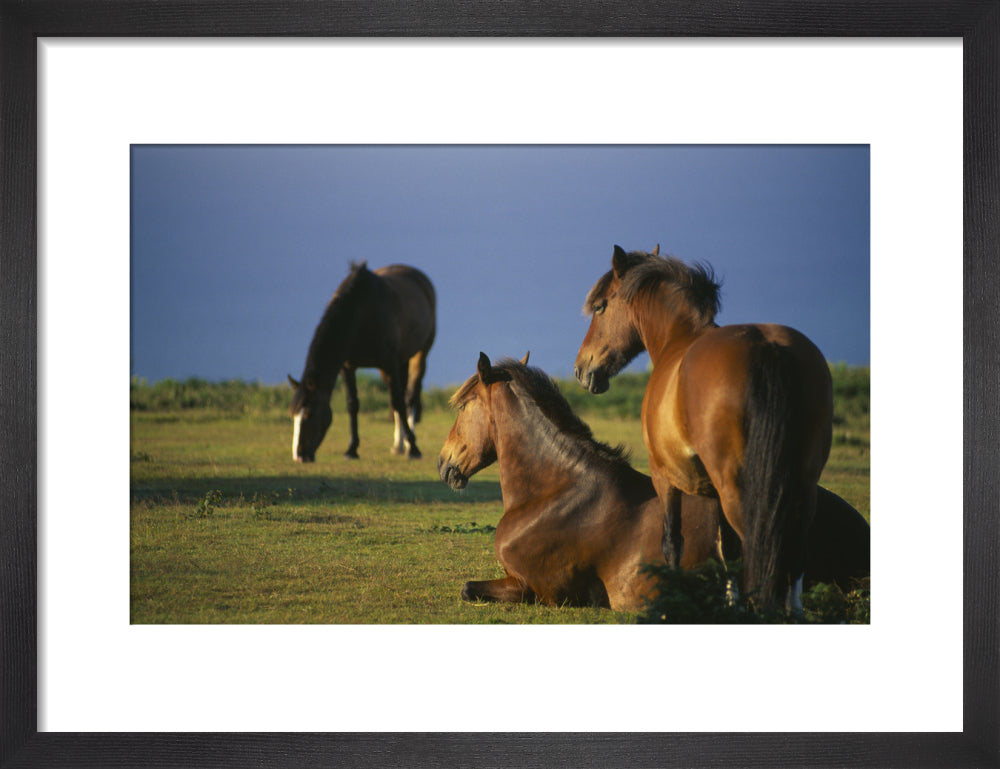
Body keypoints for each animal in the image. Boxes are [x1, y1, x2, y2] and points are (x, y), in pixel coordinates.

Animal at [289, 261, 435, 461]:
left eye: (309, 414)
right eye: (293, 414)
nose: (299, 455)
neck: (361, 312)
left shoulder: (389, 364)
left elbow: (398, 402)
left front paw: (413, 448)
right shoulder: (347, 368)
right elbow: (353, 405)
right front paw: (351, 449)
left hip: (419, 354)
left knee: (409, 397)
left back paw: (407, 444)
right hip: (400, 361)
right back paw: (398, 445)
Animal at [575, 246, 834, 613]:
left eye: (600, 306)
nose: (582, 369)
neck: (678, 339)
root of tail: (767, 345)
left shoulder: (664, 476)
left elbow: (672, 541)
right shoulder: (714, 492)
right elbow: (727, 549)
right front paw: (731, 604)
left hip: (737, 487)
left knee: (757, 541)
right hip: (802, 481)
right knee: (793, 545)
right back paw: (790, 610)